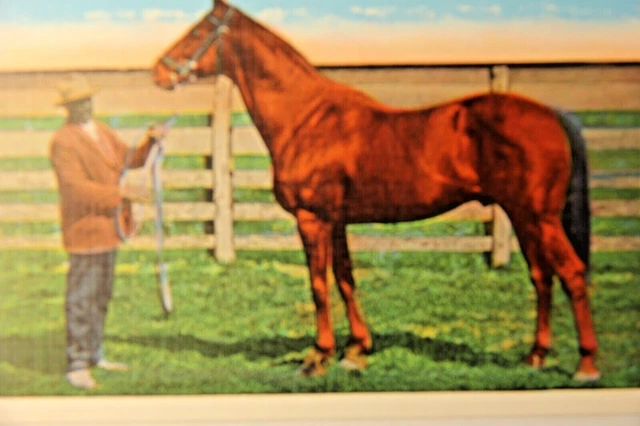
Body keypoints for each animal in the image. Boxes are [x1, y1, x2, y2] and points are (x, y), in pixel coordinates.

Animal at [151, 0, 600, 381]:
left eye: (199, 31)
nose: (158, 72)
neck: (306, 117)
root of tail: (551, 114)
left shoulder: (311, 220)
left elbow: (318, 285)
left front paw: (318, 356)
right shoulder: (335, 221)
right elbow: (345, 278)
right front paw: (355, 351)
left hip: (540, 217)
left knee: (572, 273)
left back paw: (586, 365)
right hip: (523, 216)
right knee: (542, 275)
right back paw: (535, 356)